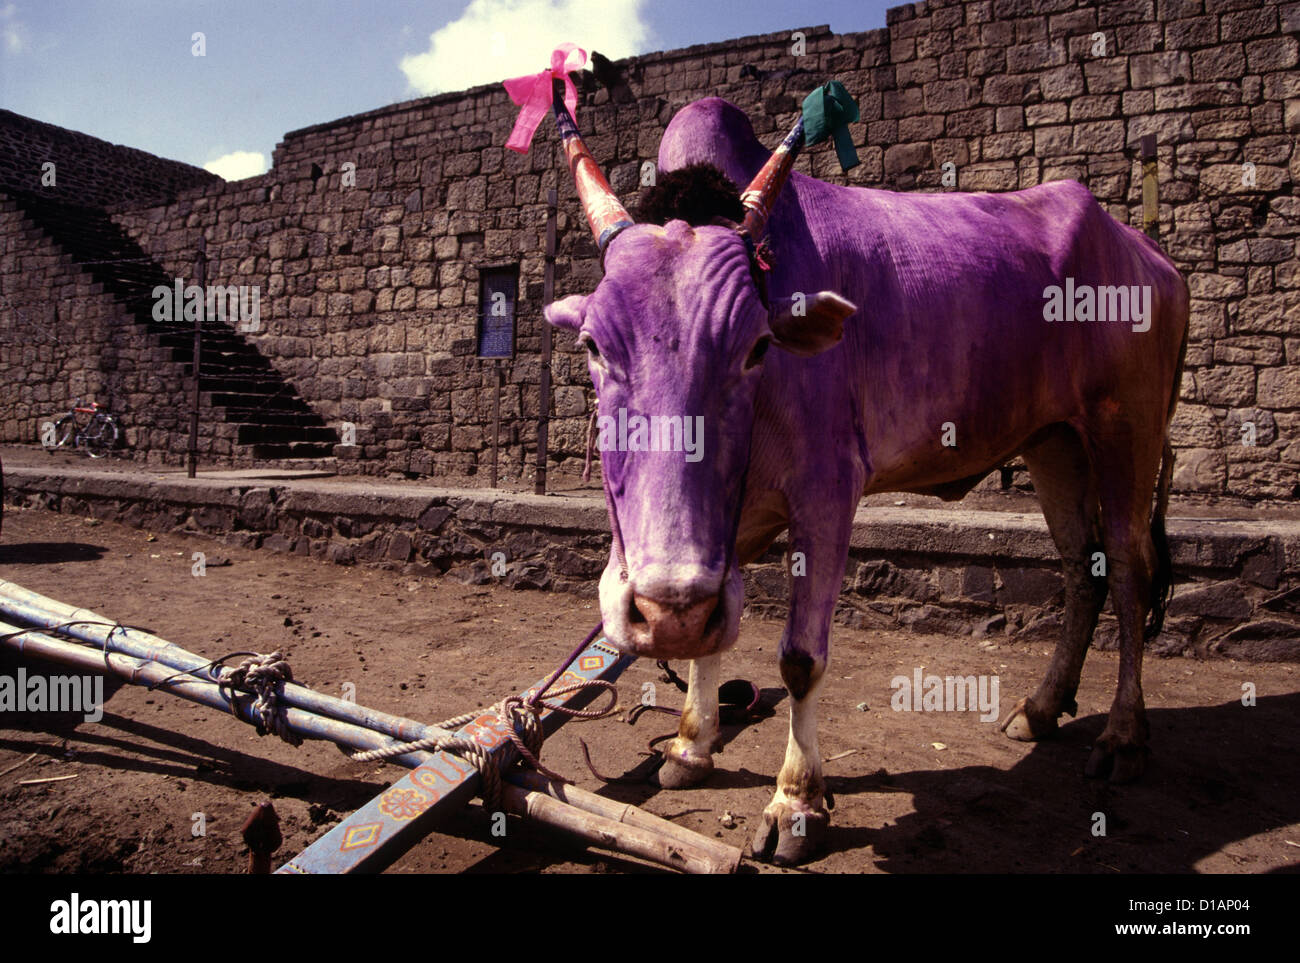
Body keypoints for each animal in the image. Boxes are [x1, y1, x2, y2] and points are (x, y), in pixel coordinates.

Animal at [542, 95, 1190, 865]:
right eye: (592, 345)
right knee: (1079, 566)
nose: (659, 603)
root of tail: (1147, 251)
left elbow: (800, 658)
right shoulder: (726, 535)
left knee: (1127, 568)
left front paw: (796, 804)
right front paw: (690, 746)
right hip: (1053, 441)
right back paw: (1039, 708)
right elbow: (710, 635)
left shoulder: (827, 491)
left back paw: (1123, 735)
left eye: (757, 345)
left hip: (1126, 431)